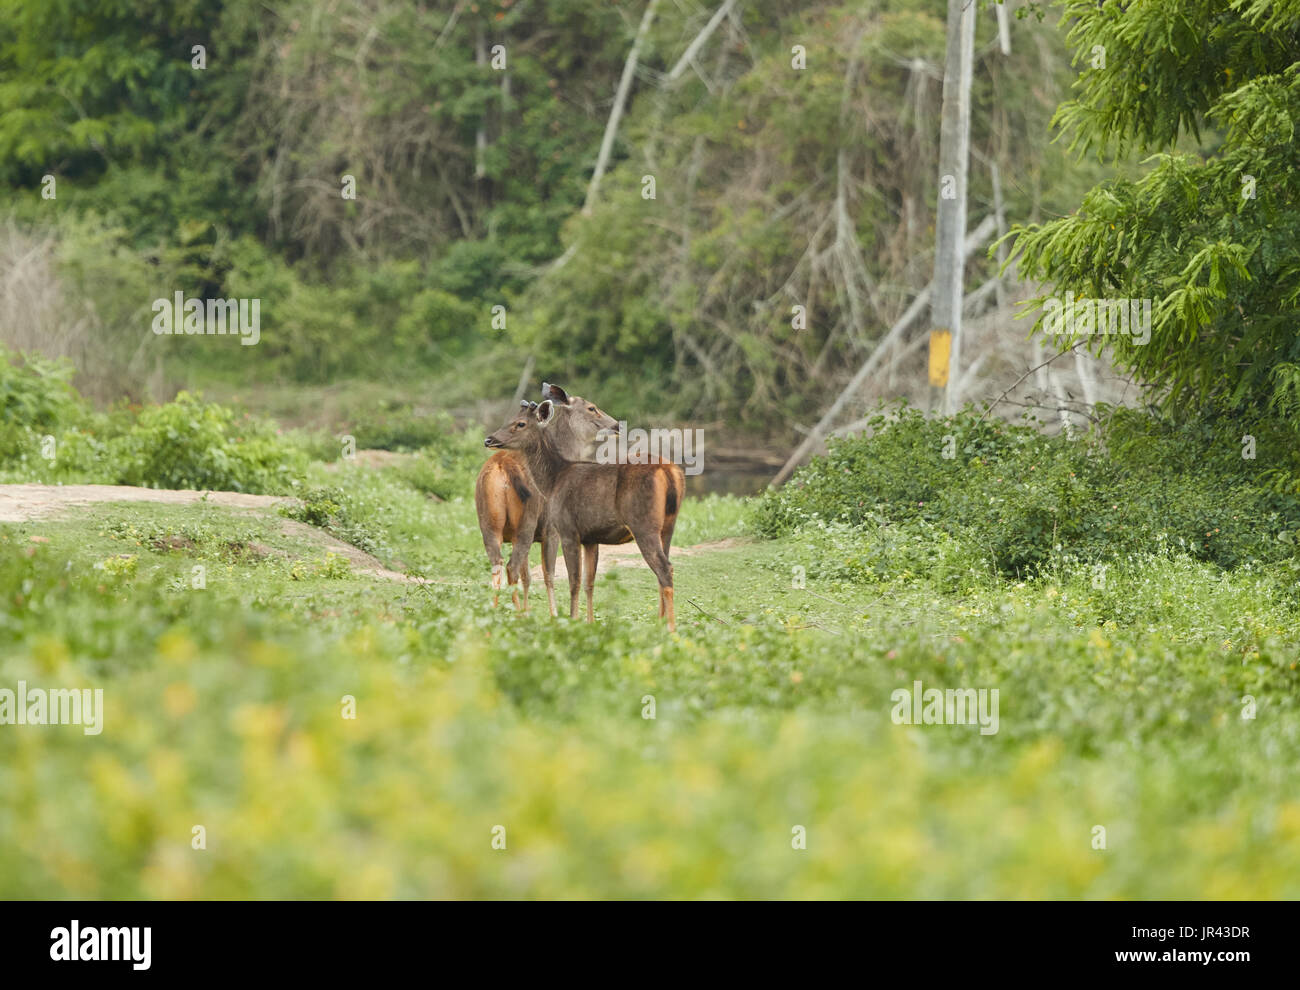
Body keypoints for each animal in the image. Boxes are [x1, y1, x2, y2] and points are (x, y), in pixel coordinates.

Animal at [476, 383, 618, 613]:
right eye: (592, 408)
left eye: (517, 421)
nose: (616, 425)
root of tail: (500, 467)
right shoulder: (551, 529)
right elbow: (548, 574)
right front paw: (554, 614)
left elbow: (528, 577)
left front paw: (529, 610)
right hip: (526, 523)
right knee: (511, 567)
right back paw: (517, 614)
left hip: (488, 523)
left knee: (498, 565)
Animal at [484, 398, 685, 632]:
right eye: (510, 419)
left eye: (520, 423)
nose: (489, 439)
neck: (553, 480)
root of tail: (669, 471)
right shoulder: (590, 538)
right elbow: (590, 581)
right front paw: (589, 623)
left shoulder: (568, 530)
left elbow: (574, 581)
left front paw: (573, 620)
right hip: (668, 525)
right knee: (666, 569)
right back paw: (660, 625)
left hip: (643, 524)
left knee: (664, 569)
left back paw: (670, 629)